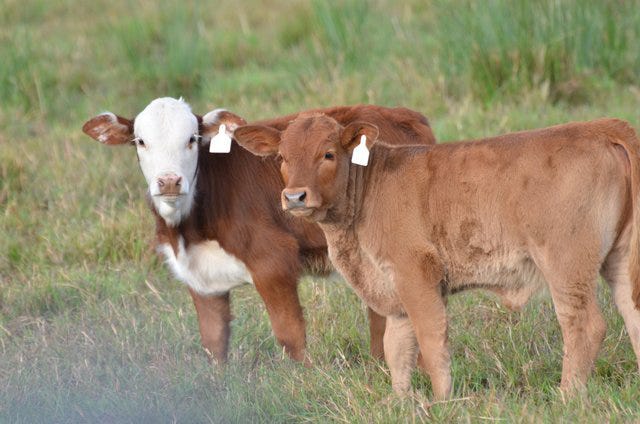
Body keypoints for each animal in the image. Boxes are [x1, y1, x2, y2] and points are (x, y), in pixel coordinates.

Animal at [81, 98, 437, 364]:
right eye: (140, 141)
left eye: (192, 139)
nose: (169, 181)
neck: (189, 229)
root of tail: (404, 114)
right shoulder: (200, 276)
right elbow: (213, 341)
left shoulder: (272, 260)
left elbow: (290, 335)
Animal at [233, 114, 640, 399]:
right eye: (282, 157)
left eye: (328, 154)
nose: (294, 196)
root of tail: (596, 127)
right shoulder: (393, 290)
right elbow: (397, 347)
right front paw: (399, 401)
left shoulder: (416, 275)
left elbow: (431, 340)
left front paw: (442, 401)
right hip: (619, 262)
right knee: (632, 314)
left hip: (565, 263)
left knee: (584, 325)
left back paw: (567, 396)